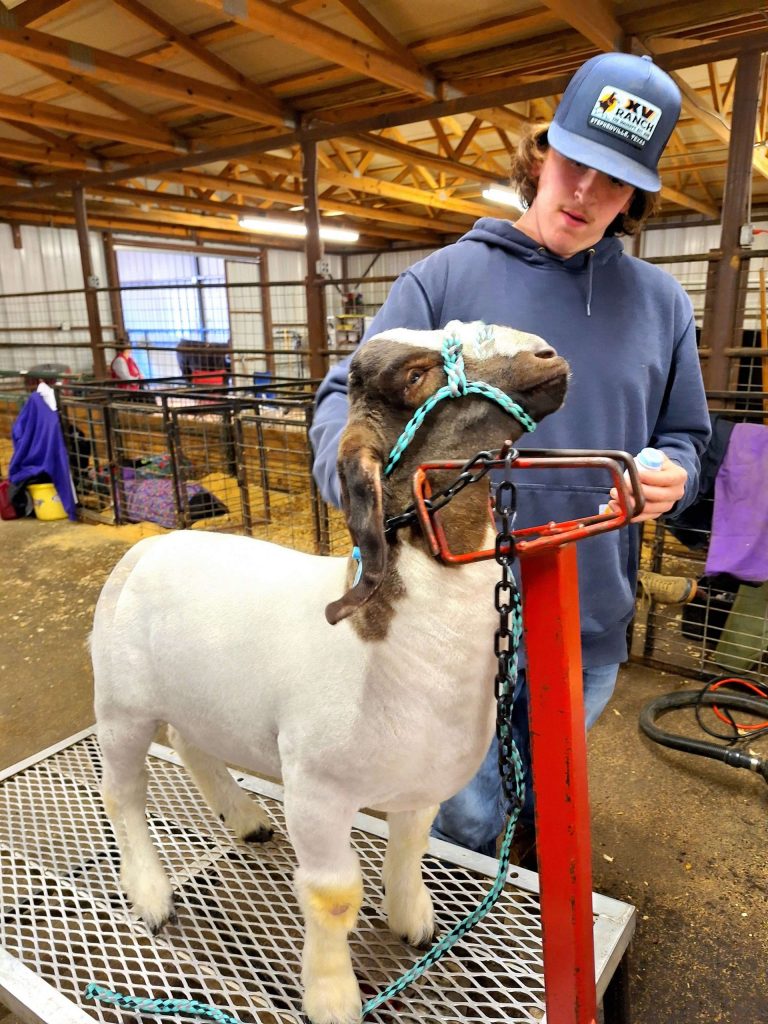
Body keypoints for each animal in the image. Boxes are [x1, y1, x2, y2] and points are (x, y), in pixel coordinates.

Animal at [91, 320, 568, 1024]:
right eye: (416, 375)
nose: (549, 356)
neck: (387, 650)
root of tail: (150, 546)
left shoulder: (421, 784)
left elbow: (411, 847)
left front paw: (413, 920)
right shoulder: (316, 794)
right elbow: (334, 895)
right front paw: (332, 995)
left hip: (200, 699)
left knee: (191, 742)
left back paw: (244, 817)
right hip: (121, 708)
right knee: (123, 793)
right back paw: (149, 892)